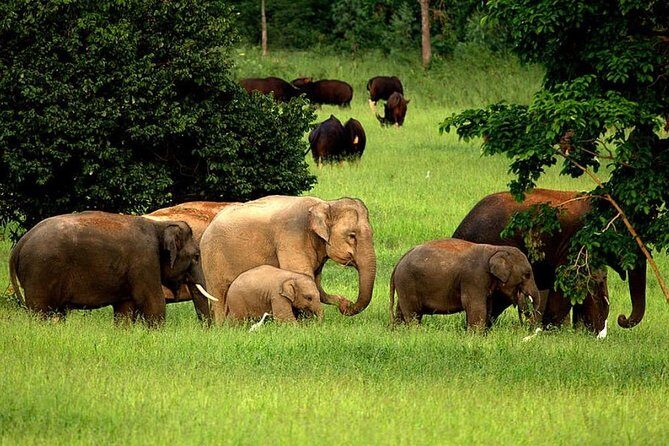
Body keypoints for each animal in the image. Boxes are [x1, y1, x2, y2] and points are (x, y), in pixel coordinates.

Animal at [8, 211, 213, 326]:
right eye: (196, 256)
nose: (207, 331)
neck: (159, 225)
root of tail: (19, 244)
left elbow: (125, 309)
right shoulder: (144, 262)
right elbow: (154, 303)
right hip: (39, 272)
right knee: (40, 311)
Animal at [200, 195, 377, 324]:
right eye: (352, 236)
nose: (346, 304)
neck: (325, 204)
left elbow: (315, 282)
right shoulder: (292, 237)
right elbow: (301, 275)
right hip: (212, 258)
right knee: (219, 295)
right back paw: (221, 327)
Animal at [389, 238, 541, 329]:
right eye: (527, 274)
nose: (528, 327)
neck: (496, 249)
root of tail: (398, 262)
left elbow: (488, 307)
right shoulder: (474, 278)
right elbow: (476, 307)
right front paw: (475, 336)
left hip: (404, 284)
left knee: (401, 310)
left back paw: (398, 331)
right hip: (407, 282)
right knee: (413, 314)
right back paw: (415, 331)